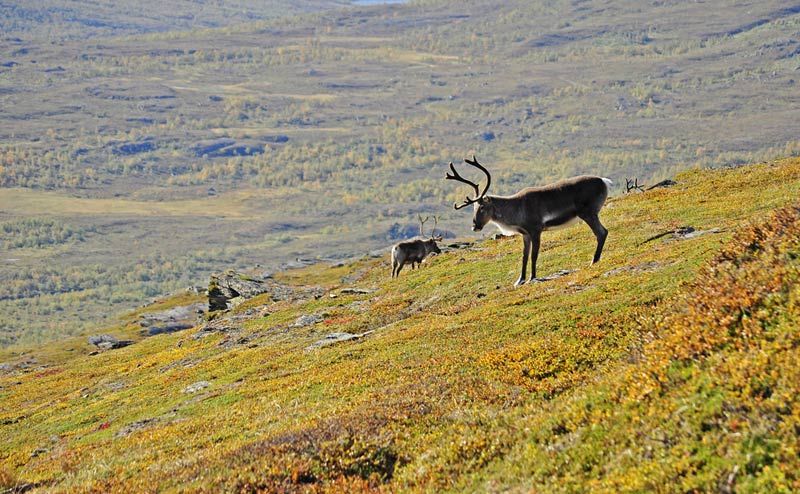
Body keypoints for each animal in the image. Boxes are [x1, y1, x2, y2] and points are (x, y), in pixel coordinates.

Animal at [446, 156, 612, 287]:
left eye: (482, 207)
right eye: (473, 208)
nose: (475, 227)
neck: (515, 209)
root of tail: (604, 181)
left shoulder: (536, 230)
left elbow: (534, 255)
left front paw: (532, 277)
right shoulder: (525, 234)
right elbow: (524, 257)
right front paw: (520, 280)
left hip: (588, 213)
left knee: (602, 232)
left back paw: (594, 261)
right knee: (602, 232)